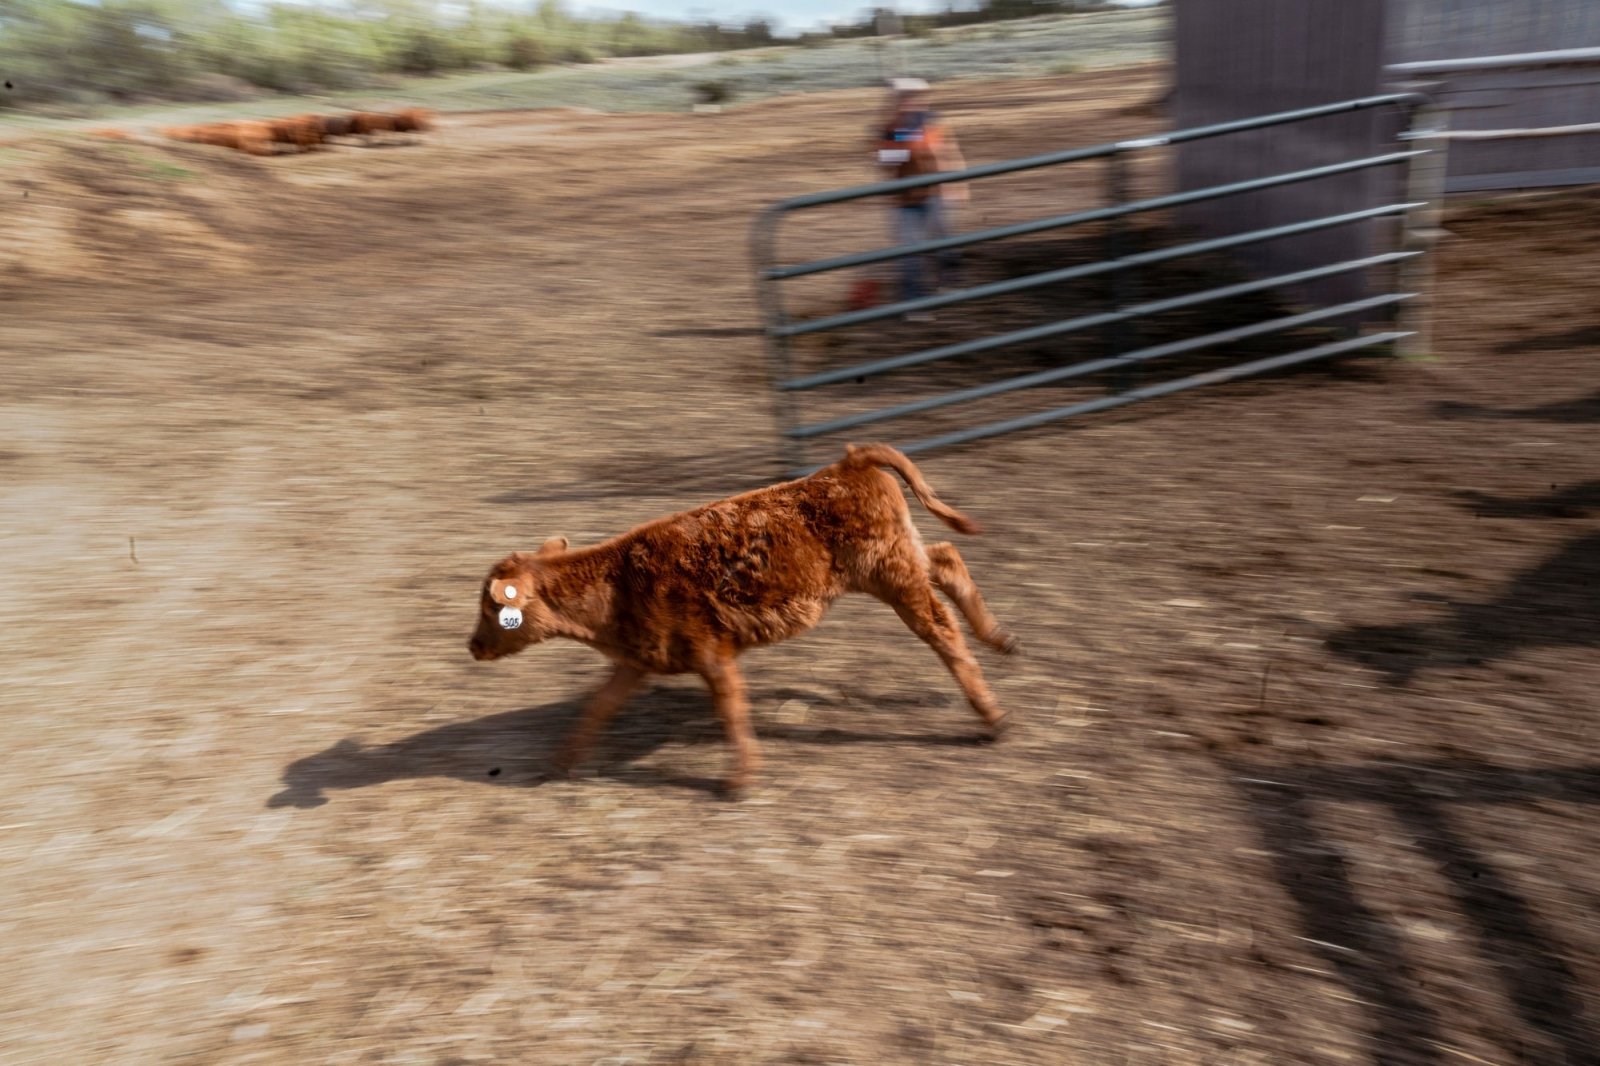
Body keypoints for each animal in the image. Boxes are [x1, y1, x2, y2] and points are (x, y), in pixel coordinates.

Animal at [468, 443, 1017, 793]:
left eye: (493, 607)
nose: (472, 646)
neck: (618, 582)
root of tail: (846, 464)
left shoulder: (712, 653)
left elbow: (732, 710)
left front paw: (740, 780)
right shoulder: (639, 659)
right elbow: (599, 707)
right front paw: (561, 762)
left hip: (893, 576)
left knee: (940, 627)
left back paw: (993, 715)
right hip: (902, 562)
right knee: (946, 558)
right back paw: (1000, 638)